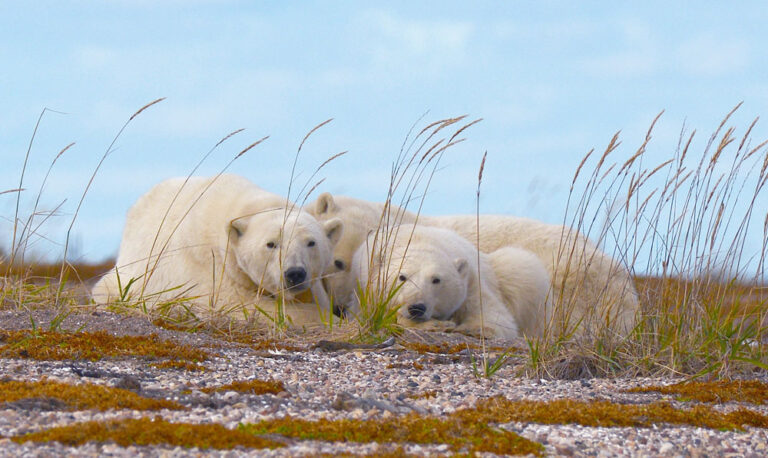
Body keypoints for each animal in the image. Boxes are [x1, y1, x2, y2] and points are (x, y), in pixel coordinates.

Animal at [348, 223, 554, 340]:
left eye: (436, 279)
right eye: (402, 277)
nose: (416, 308)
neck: (417, 240)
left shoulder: (471, 282)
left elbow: (496, 316)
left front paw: (473, 329)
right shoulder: (363, 290)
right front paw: (437, 325)